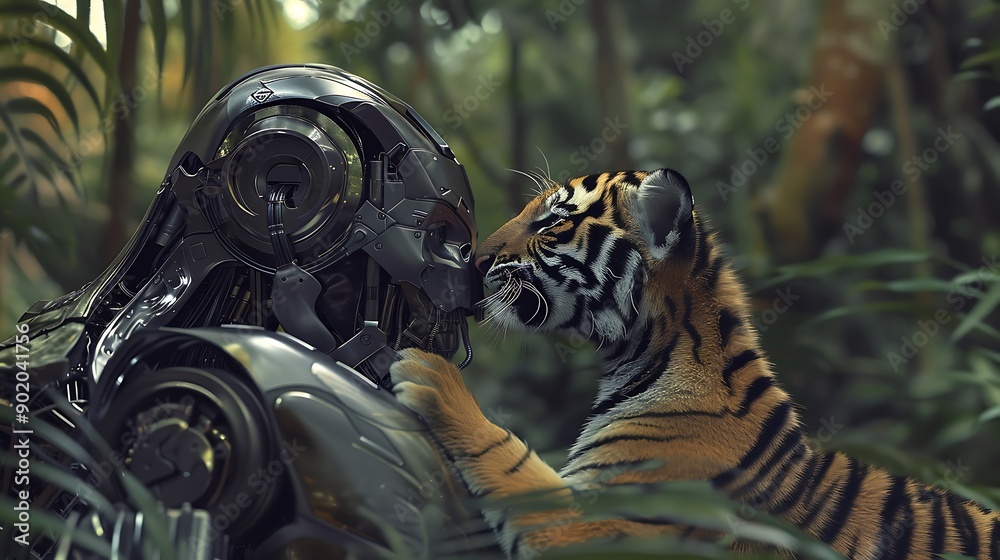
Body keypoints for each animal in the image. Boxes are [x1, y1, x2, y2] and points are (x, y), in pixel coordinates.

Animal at [390, 168, 1000, 559]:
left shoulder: (612, 527)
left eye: (550, 224)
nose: (477, 259)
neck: (650, 354)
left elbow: (511, 460)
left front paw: (431, 377)